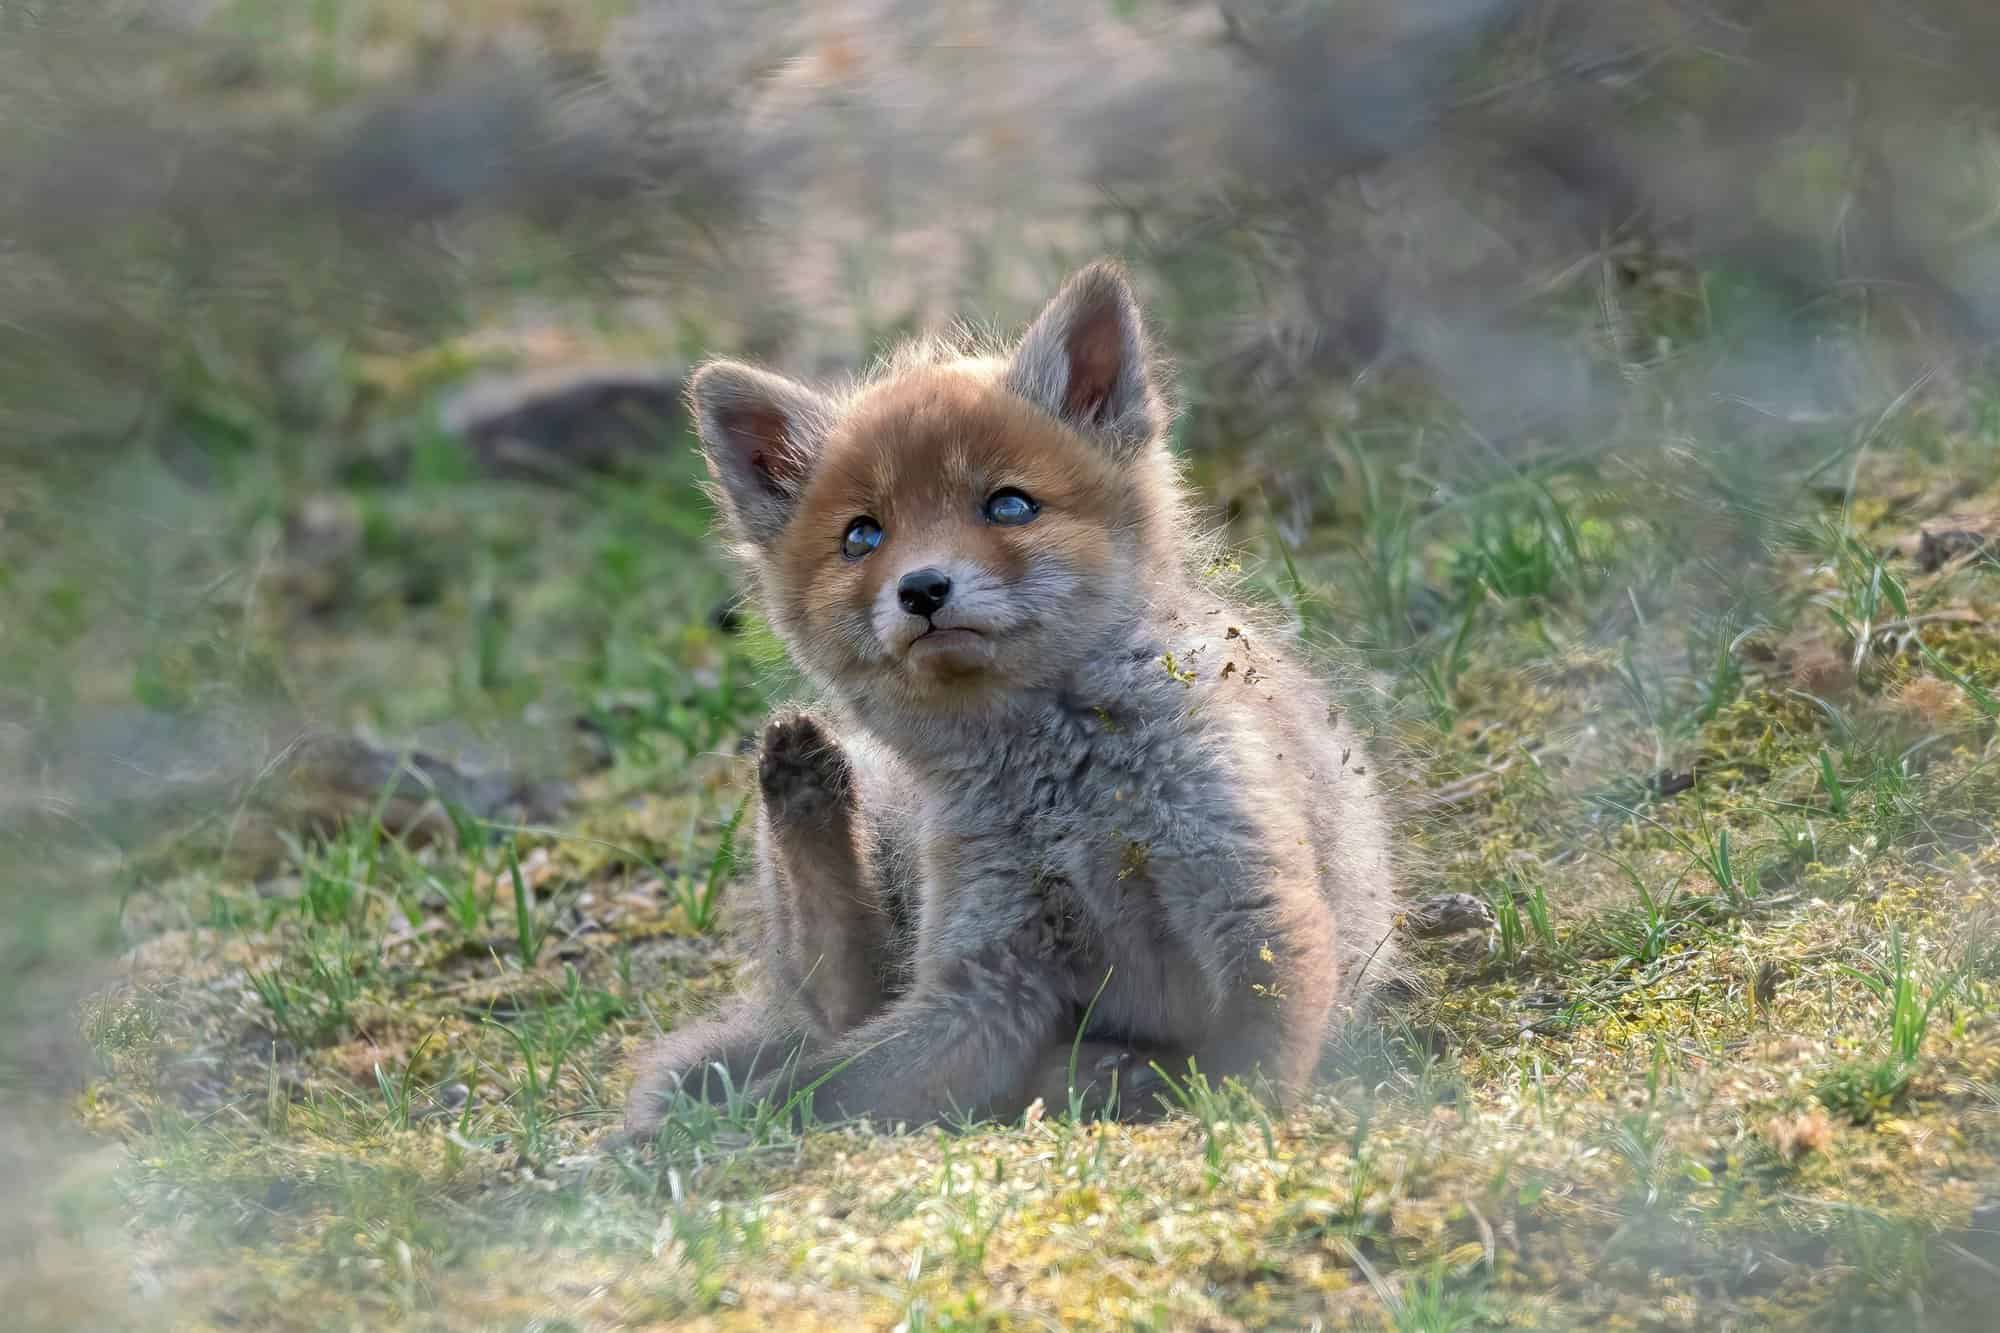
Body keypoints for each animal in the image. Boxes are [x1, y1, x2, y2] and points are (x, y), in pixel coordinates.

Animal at [624, 259, 1398, 1136]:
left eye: (1009, 504)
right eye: (863, 535)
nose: (923, 589)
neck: (1059, 779)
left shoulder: (1249, 894)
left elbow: (1256, 1057)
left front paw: (1242, 1130)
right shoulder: (986, 973)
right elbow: (827, 1082)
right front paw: (671, 1145)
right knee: (839, 996)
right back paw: (802, 788)